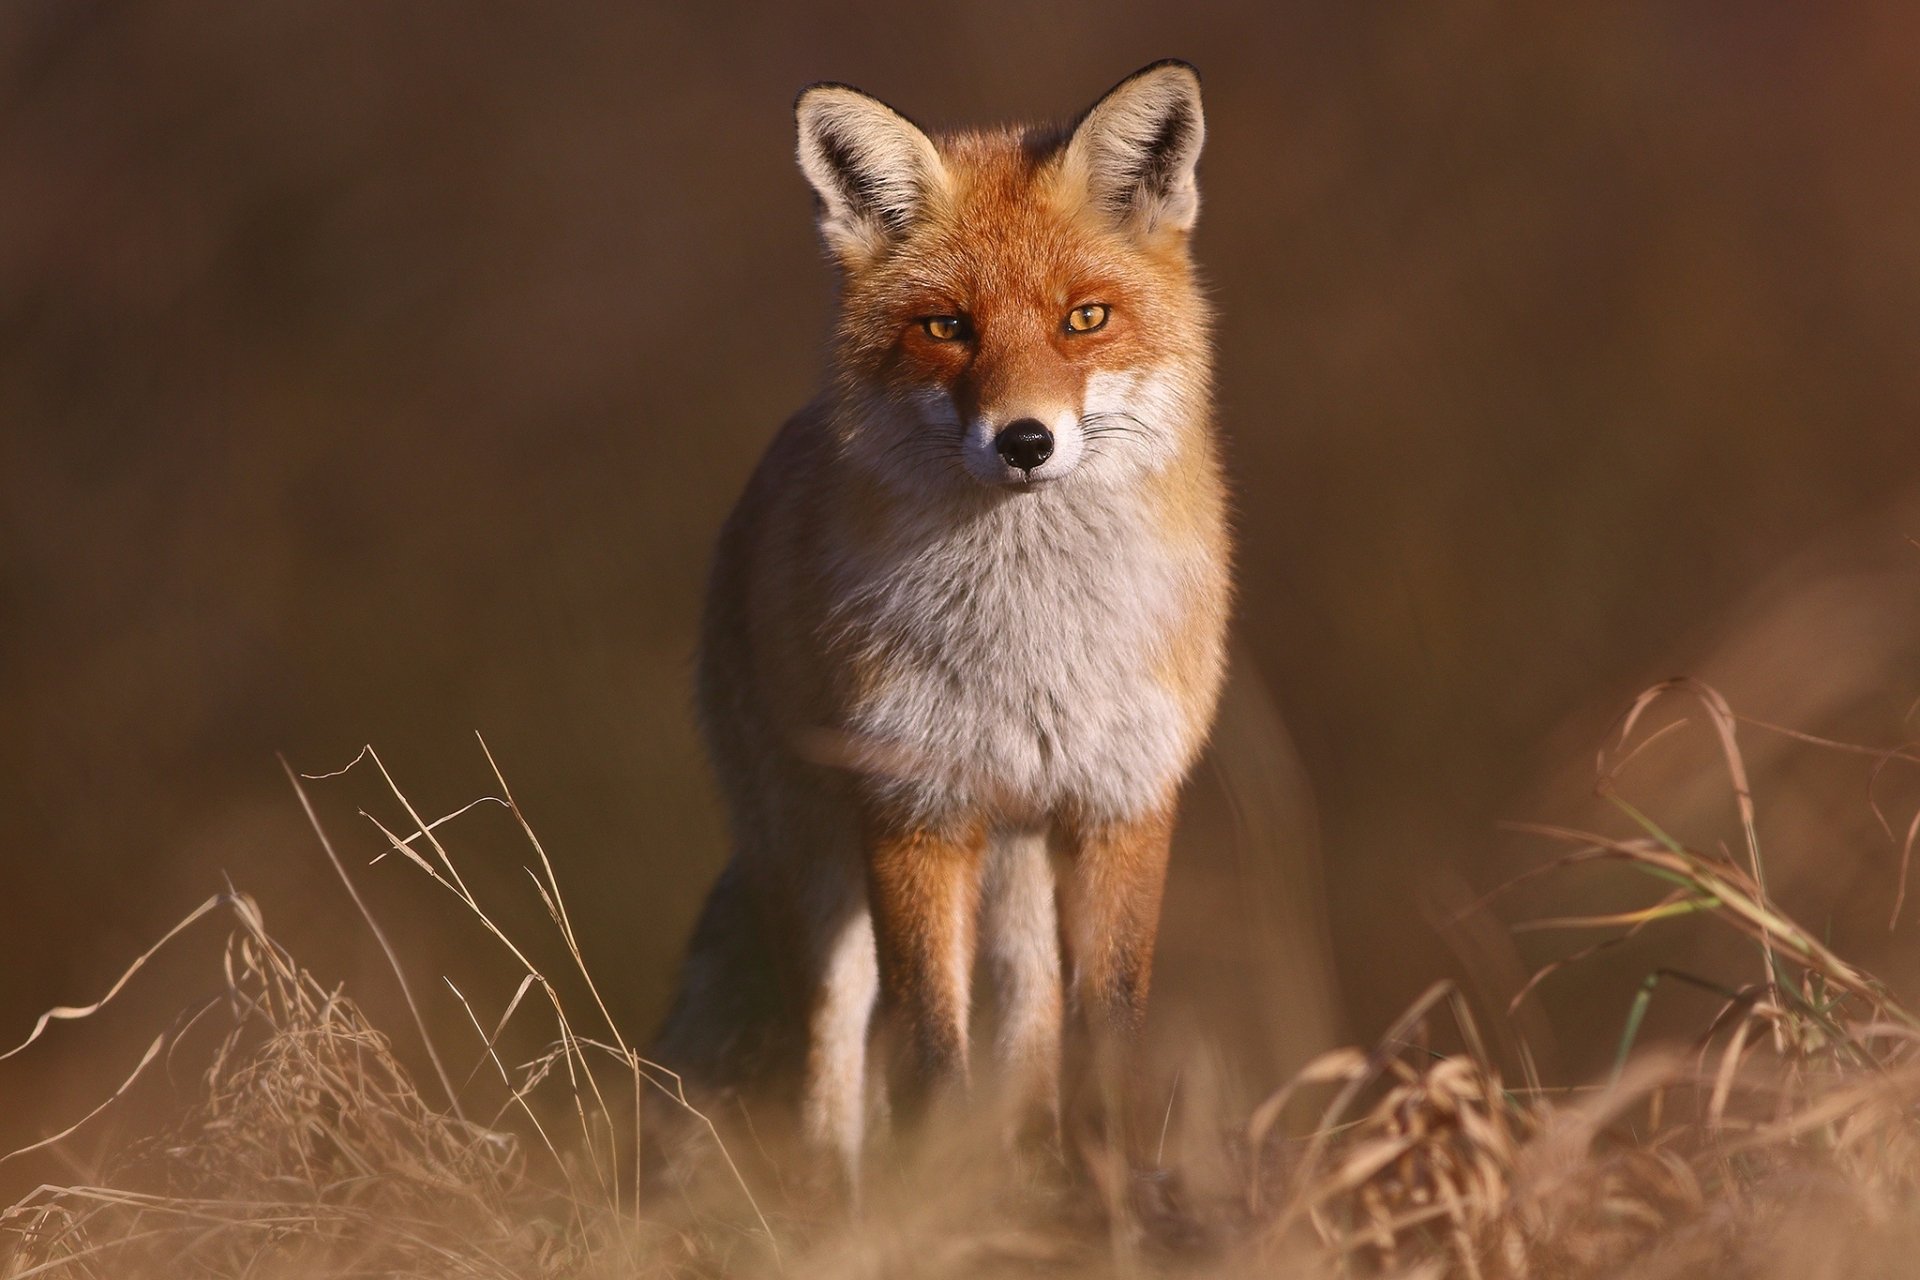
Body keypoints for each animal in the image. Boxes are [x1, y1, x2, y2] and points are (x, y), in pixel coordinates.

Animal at [651, 60, 1231, 1187]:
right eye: (947, 327)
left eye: (1084, 318)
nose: (1025, 440)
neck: (1033, 645)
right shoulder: (915, 809)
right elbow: (929, 1056)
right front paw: (931, 1204)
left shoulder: (1122, 804)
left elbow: (1106, 1035)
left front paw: (1117, 1192)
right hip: (818, 869)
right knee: (837, 1059)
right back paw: (841, 1202)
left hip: (1016, 871)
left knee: (1028, 1038)